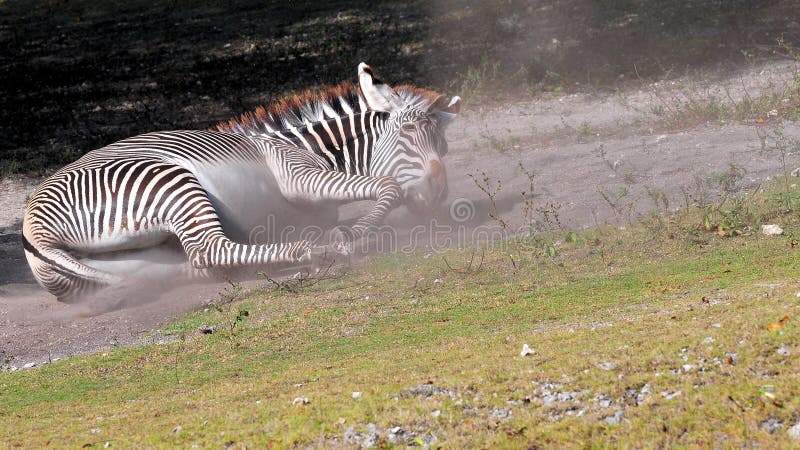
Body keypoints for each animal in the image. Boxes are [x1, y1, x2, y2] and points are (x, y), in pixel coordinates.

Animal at [22, 63, 461, 304]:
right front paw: (351, 232)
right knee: (211, 250)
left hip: (142, 260)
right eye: (407, 135)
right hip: (174, 184)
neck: (308, 147)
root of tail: (31, 229)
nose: (439, 193)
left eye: (441, 144)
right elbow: (388, 187)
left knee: (198, 265)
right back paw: (312, 251)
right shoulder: (297, 175)